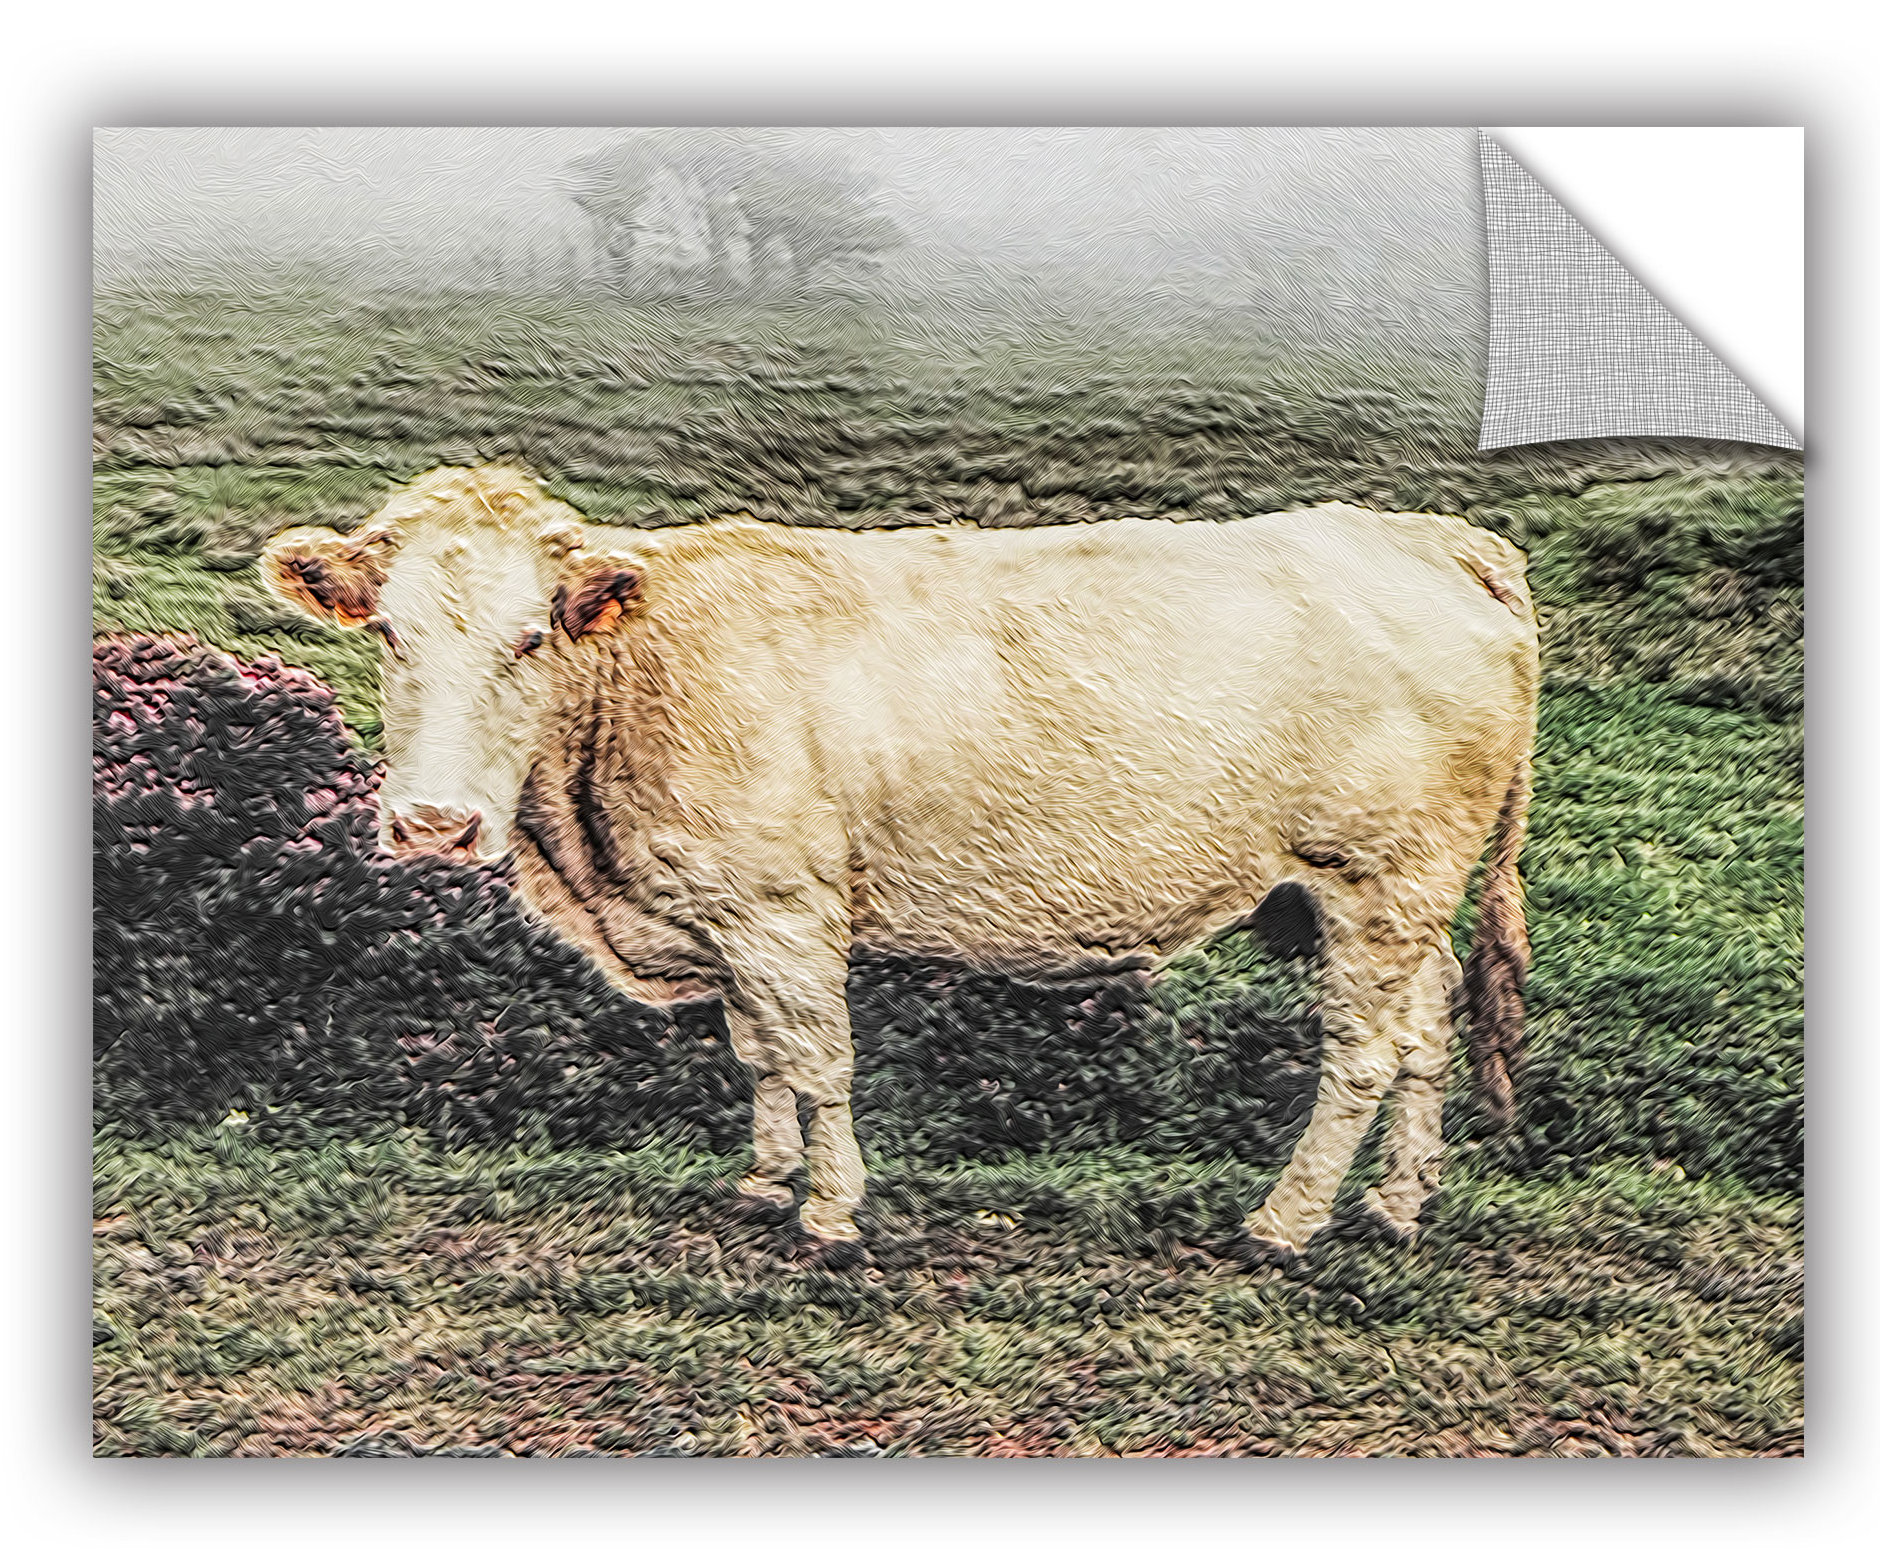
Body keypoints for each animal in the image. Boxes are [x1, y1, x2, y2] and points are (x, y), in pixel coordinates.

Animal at [264, 465, 1538, 1258]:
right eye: (390, 632)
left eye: (529, 636)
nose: (434, 823)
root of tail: (1417, 532)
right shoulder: (729, 918)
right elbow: (760, 1054)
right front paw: (765, 1177)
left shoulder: (782, 908)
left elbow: (818, 1058)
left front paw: (829, 1211)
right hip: (1382, 895)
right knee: (1423, 1027)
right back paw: (1396, 1202)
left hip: (1377, 876)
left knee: (1362, 1052)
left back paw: (1286, 1220)